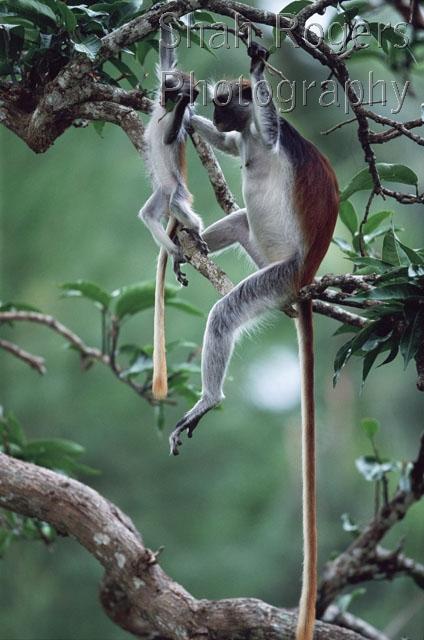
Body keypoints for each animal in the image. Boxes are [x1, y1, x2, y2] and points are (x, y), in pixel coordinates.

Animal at [168, 42, 339, 640]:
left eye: (228, 103)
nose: (217, 115)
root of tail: (305, 280)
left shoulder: (267, 134)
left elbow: (264, 116)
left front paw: (260, 64)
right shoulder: (242, 141)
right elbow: (227, 148)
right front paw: (181, 112)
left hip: (275, 276)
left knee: (226, 313)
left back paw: (208, 398)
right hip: (263, 256)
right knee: (241, 220)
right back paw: (186, 244)